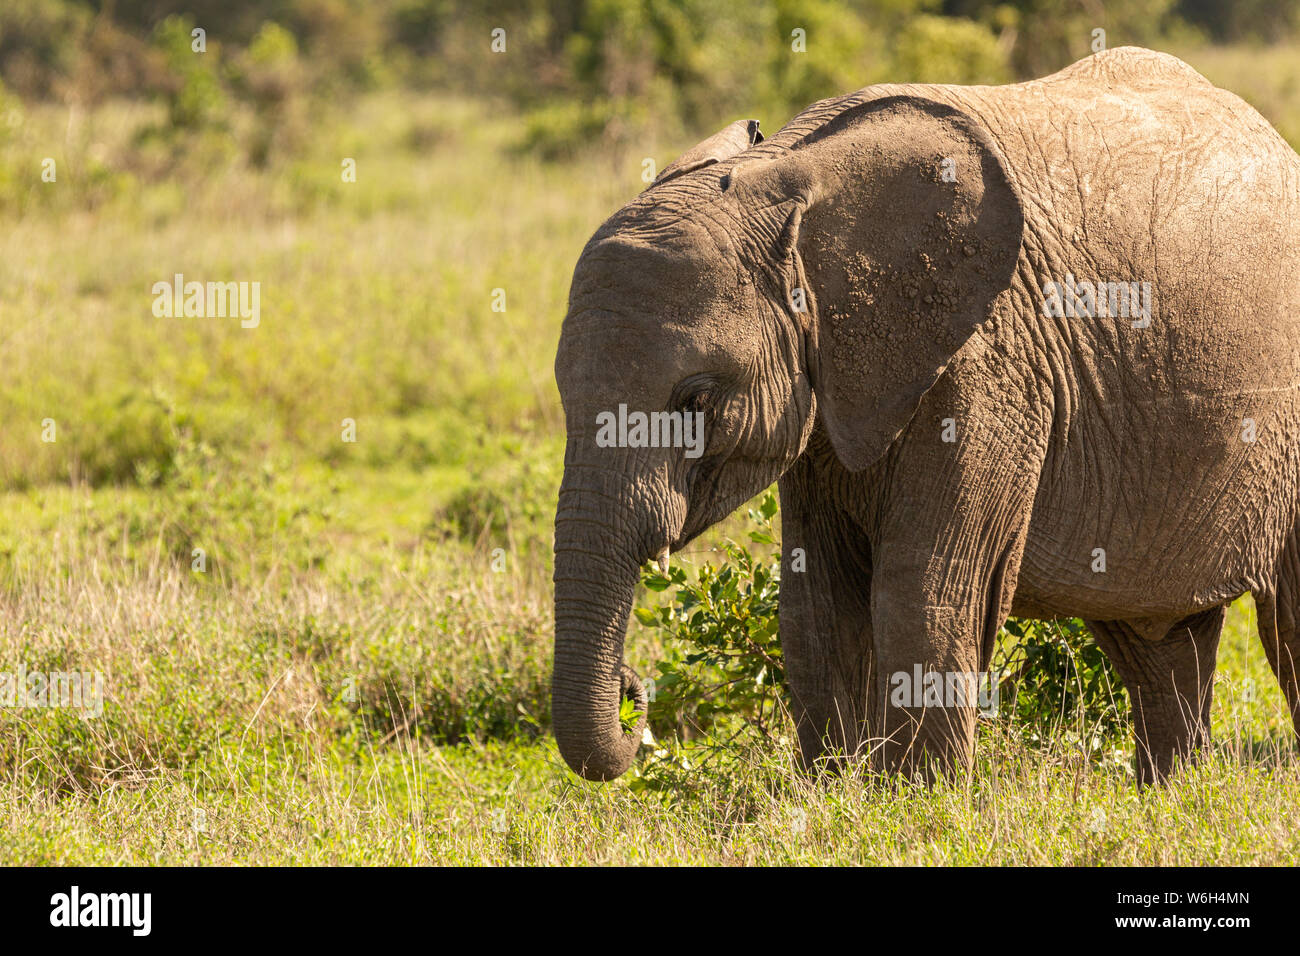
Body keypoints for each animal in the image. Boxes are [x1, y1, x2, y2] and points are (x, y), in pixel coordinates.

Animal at [550, 46, 1300, 786]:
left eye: (697, 401)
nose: (634, 691)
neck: (793, 176)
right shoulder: (836, 387)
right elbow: (816, 600)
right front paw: (834, 790)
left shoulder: (991, 363)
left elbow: (923, 583)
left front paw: (921, 796)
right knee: (1153, 635)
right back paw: (1171, 794)